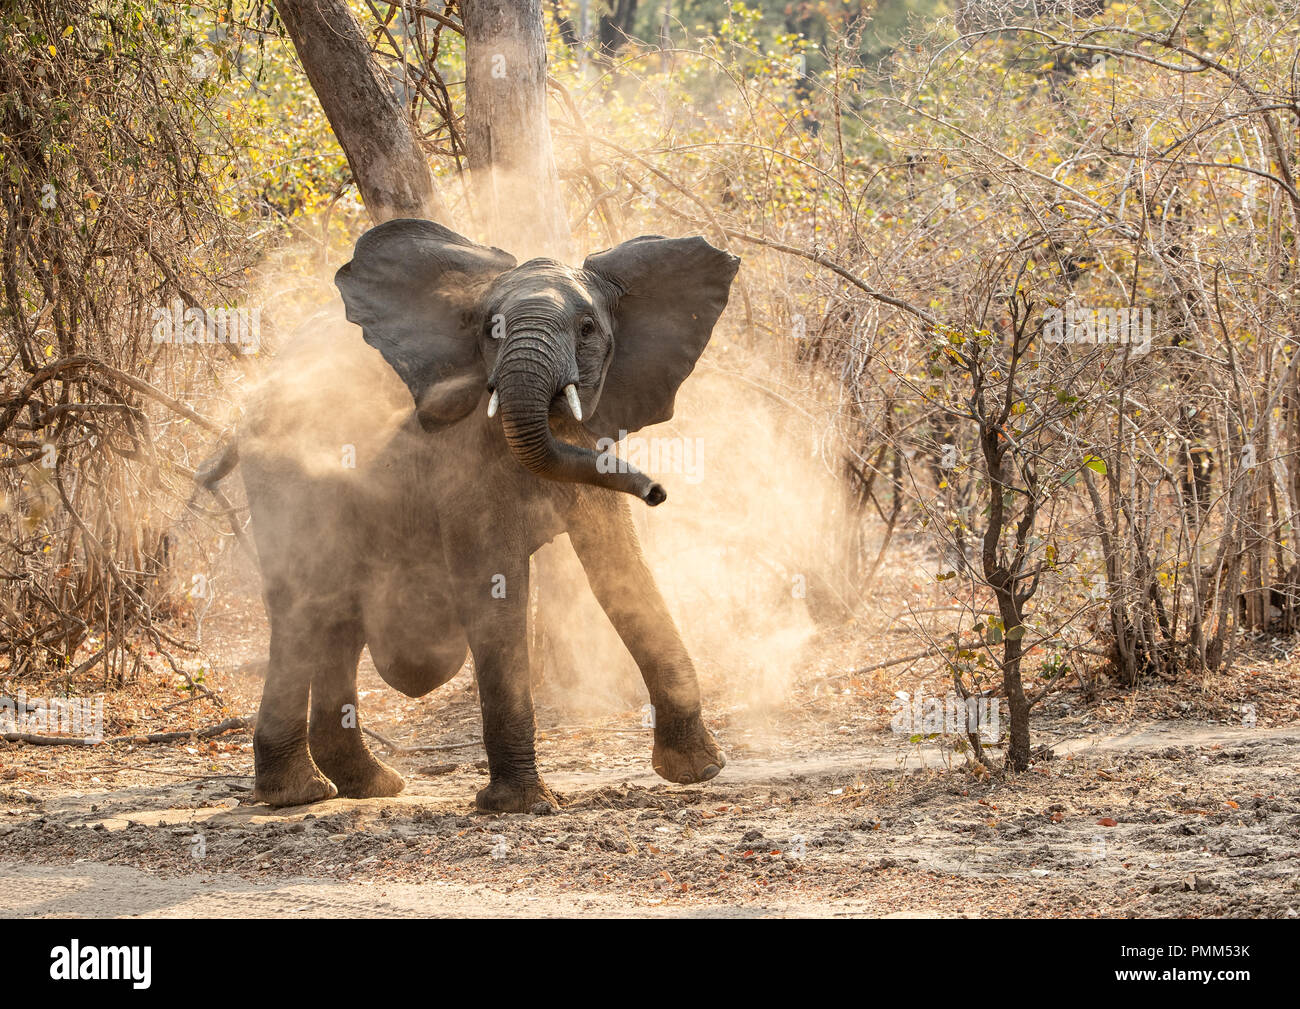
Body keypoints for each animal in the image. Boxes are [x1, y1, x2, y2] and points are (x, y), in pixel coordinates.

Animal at [215, 218, 740, 812]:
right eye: (491, 330)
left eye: (587, 328)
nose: (656, 492)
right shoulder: (463, 452)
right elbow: (495, 581)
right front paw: (523, 806)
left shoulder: (591, 432)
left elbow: (619, 565)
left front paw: (699, 772)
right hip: (285, 474)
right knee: (303, 603)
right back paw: (298, 793)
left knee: (336, 612)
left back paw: (369, 785)